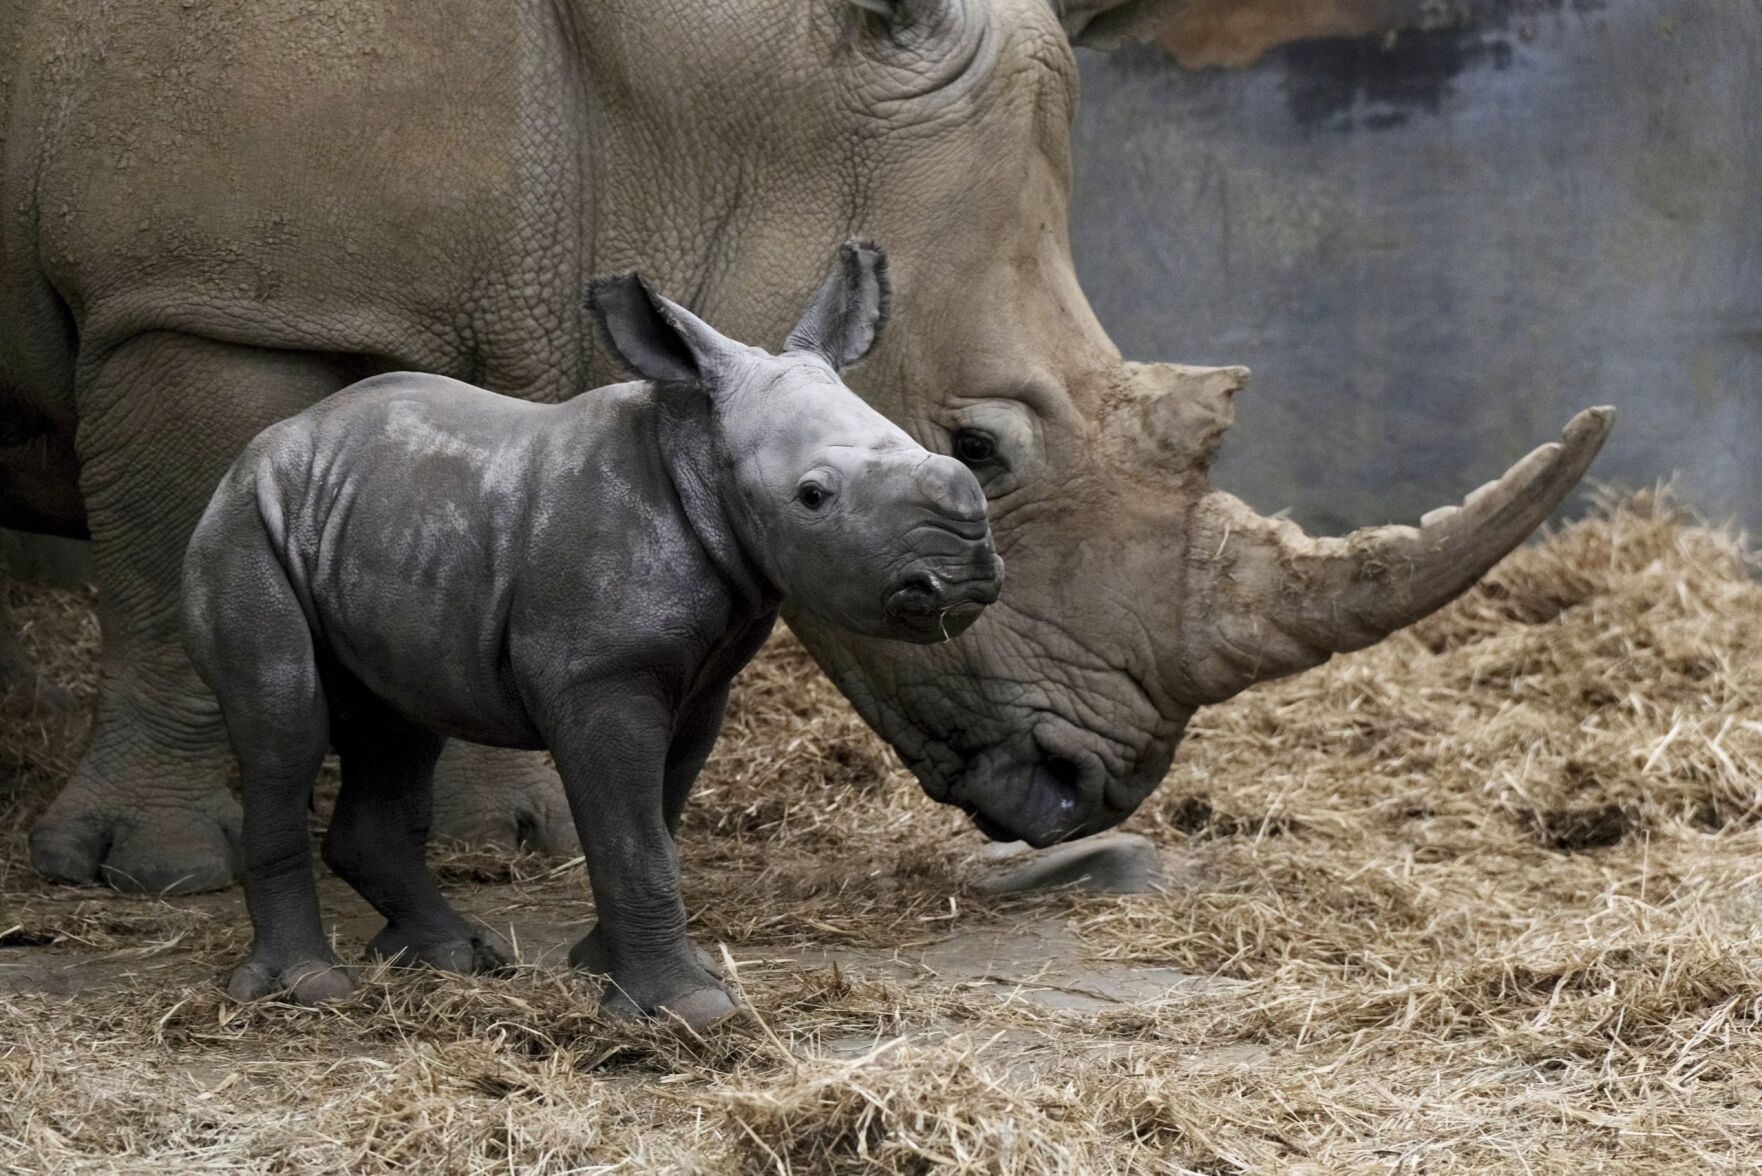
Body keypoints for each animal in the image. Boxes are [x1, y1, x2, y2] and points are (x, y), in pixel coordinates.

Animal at [0, 0, 1610, 891]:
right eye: (977, 450)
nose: (1094, 788)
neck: (658, 108)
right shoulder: (209, 295)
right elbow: (175, 561)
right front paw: (148, 874)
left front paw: (510, 843)